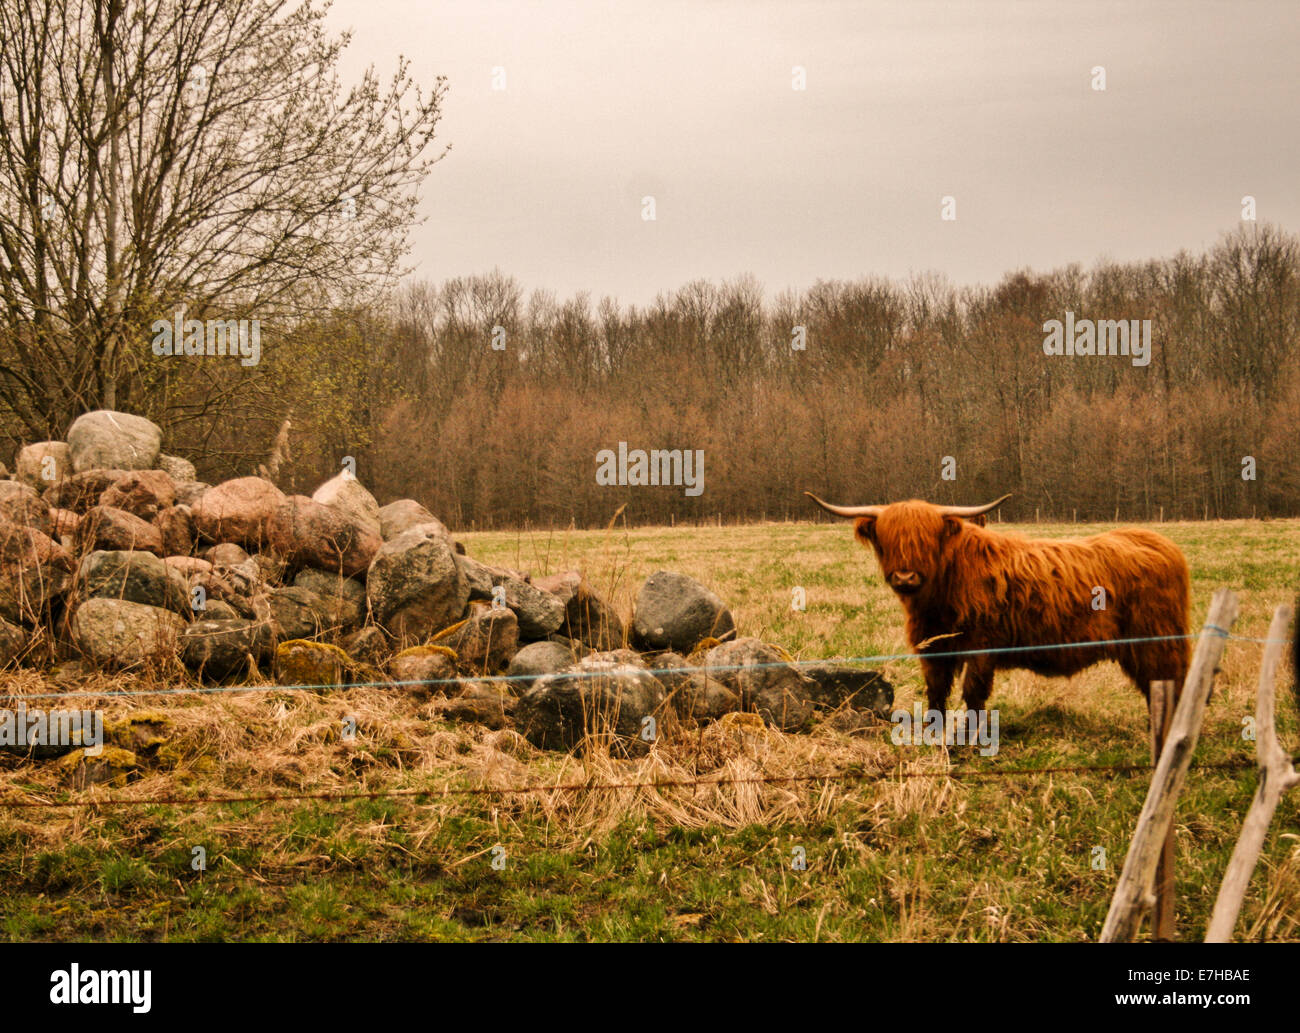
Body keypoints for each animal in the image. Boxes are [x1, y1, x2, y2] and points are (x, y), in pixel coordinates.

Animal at [806, 492, 1191, 718]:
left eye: (926, 540)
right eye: (886, 539)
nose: (905, 577)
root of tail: (1158, 542)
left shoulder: (981, 647)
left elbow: (973, 694)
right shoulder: (933, 648)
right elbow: (936, 692)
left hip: (1158, 643)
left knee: (1169, 685)